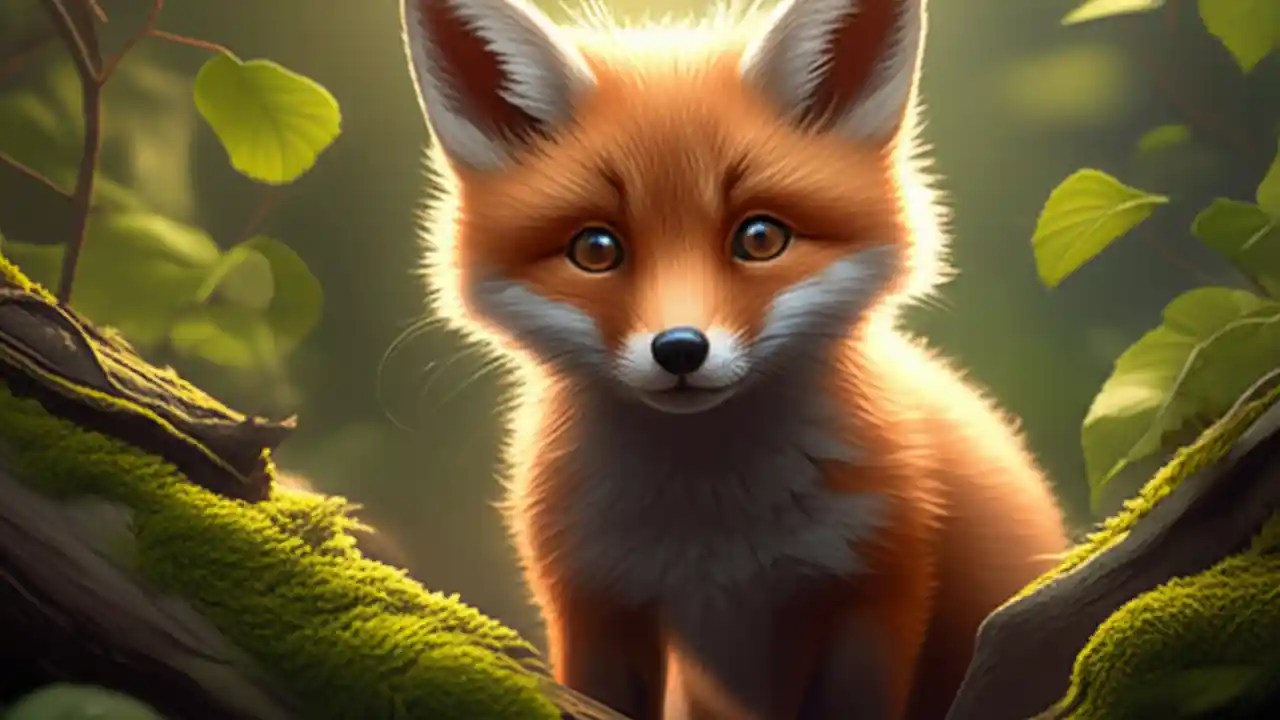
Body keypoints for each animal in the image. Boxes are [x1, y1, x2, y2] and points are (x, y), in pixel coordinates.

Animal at [398, 0, 1068, 718]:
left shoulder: (878, 584)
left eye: (760, 237)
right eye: (596, 249)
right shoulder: (592, 605)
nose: (680, 349)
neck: (714, 528)